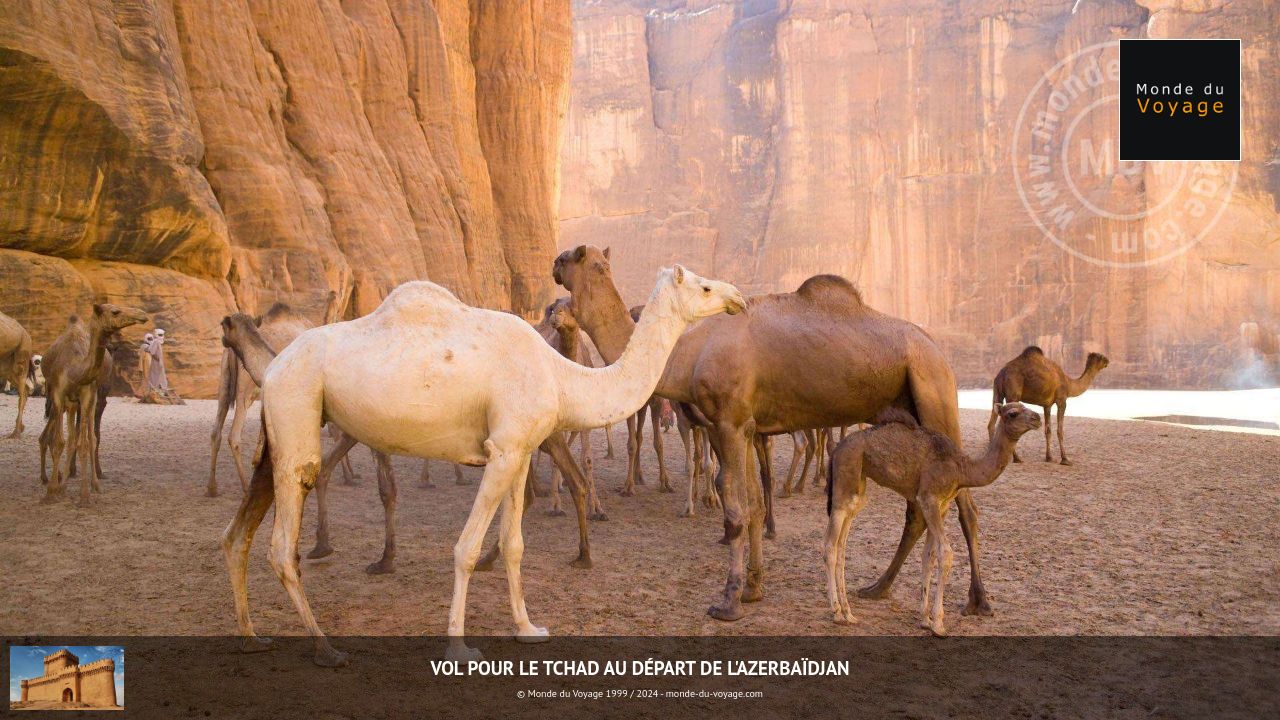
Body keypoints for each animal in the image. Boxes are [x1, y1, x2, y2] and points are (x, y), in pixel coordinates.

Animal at [0, 308, 33, 438]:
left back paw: (16, 432)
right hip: (7, 369)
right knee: (26, 390)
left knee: (23, 392)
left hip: (21, 359)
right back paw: (20, 428)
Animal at [39, 304, 146, 502]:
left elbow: (86, 441)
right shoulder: (58, 394)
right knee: (61, 437)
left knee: (84, 438)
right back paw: (58, 481)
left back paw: (84, 483)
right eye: (115, 311)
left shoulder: (89, 395)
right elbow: (59, 442)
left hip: (81, 402)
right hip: (66, 402)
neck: (74, 369)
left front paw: (84, 494)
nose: (142, 315)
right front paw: (52, 491)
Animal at [555, 244, 983, 617]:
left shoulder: (727, 422)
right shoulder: (744, 427)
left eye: (575, 256)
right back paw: (878, 587)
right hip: (909, 415)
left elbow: (734, 510)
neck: (688, 354)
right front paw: (753, 588)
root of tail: (938, 351)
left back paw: (977, 601)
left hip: (935, 394)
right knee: (917, 509)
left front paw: (728, 601)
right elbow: (756, 506)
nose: (555, 264)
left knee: (965, 504)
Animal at [824, 404, 1044, 632]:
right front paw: (938, 623)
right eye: (1013, 413)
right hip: (845, 476)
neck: (961, 468)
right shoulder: (928, 498)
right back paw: (837, 613)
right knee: (830, 545)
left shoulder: (942, 506)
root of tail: (837, 450)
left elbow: (928, 556)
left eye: (1024, 406)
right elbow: (945, 553)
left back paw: (849, 613)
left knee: (842, 544)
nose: (1037, 418)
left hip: (857, 485)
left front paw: (925, 619)